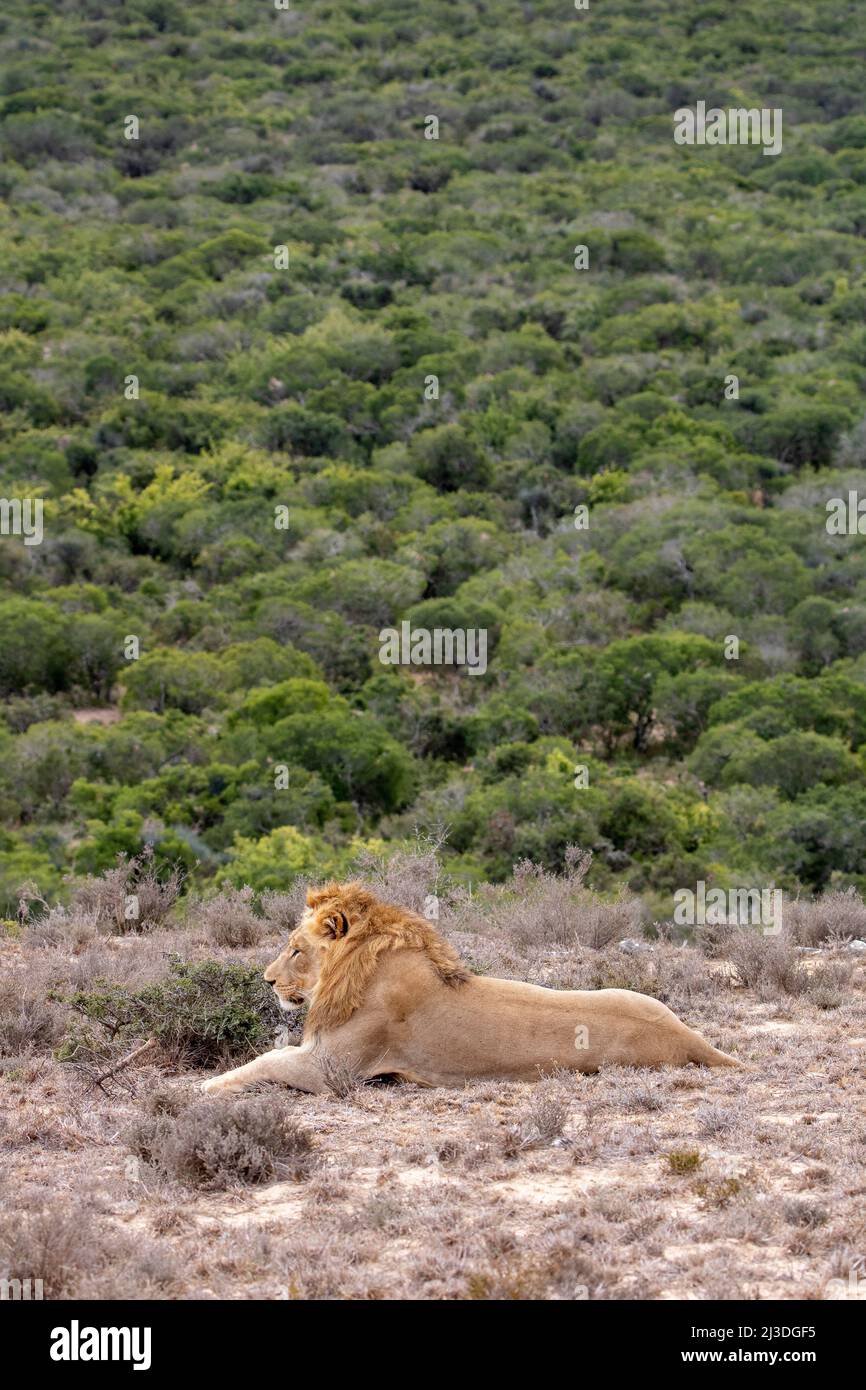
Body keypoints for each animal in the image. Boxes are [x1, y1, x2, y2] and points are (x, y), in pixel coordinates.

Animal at [201, 881, 739, 1095]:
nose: (267, 980)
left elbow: (266, 1061)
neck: (354, 971)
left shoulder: (333, 1071)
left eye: (295, 950)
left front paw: (206, 1085)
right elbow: (268, 1054)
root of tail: (692, 1038)